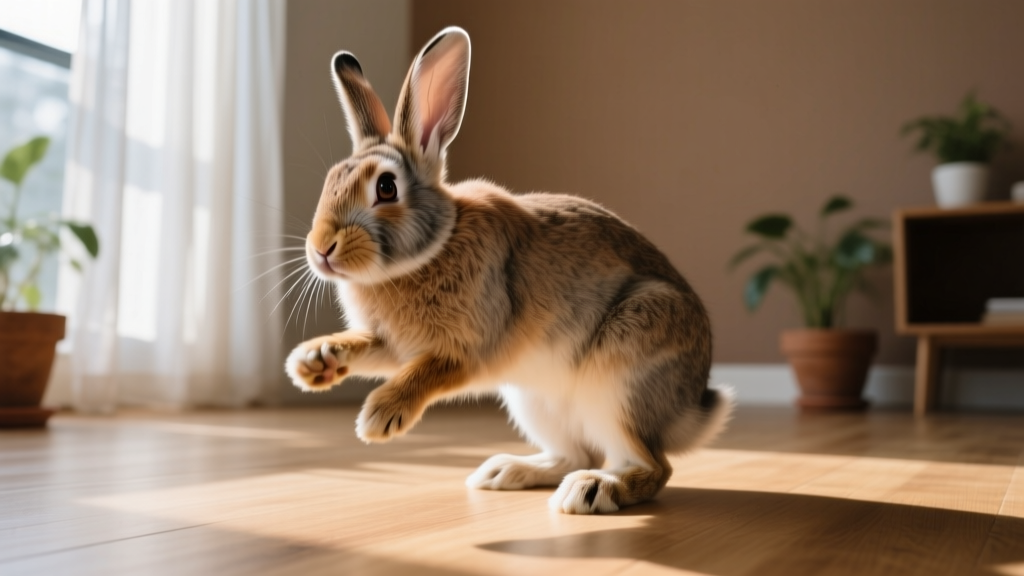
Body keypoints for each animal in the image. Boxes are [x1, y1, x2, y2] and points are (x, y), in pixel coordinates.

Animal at [285, 26, 734, 514]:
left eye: (386, 187)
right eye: (330, 181)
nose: (320, 249)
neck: (429, 251)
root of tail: (689, 406)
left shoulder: (472, 346)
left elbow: (430, 372)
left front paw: (380, 416)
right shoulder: (394, 345)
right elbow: (369, 349)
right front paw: (313, 362)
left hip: (621, 384)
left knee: (651, 466)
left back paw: (592, 491)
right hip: (536, 404)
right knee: (578, 453)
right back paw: (505, 471)